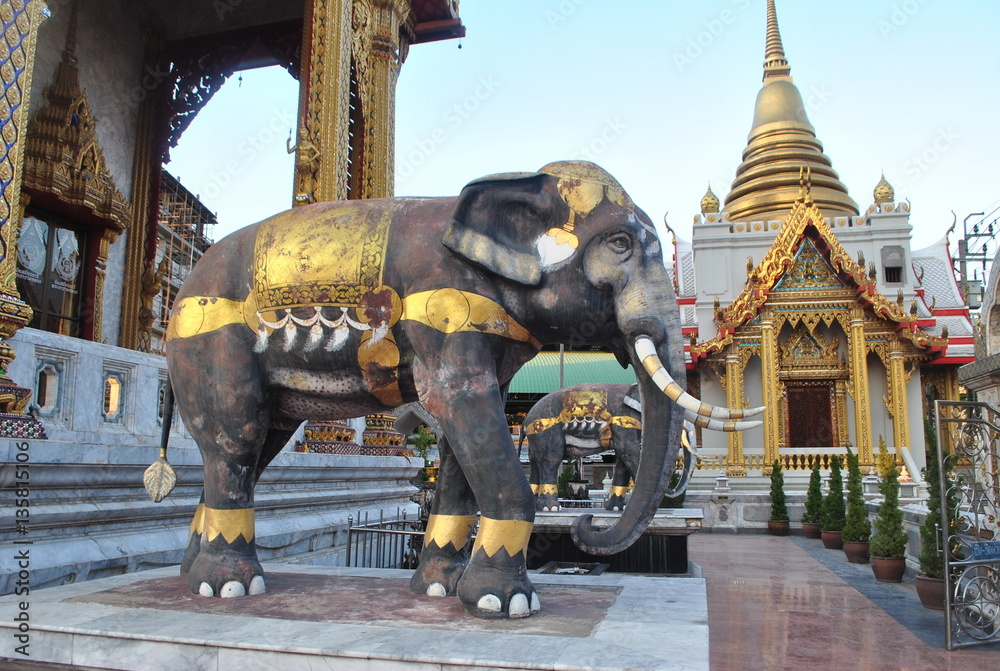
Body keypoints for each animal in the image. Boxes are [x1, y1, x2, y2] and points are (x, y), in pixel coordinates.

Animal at [519, 382, 698, 512]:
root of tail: (525, 421)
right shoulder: (623, 419)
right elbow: (627, 451)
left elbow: (623, 458)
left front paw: (615, 509)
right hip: (546, 432)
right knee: (550, 461)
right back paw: (551, 509)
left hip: (536, 438)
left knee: (536, 465)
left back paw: (535, 509)